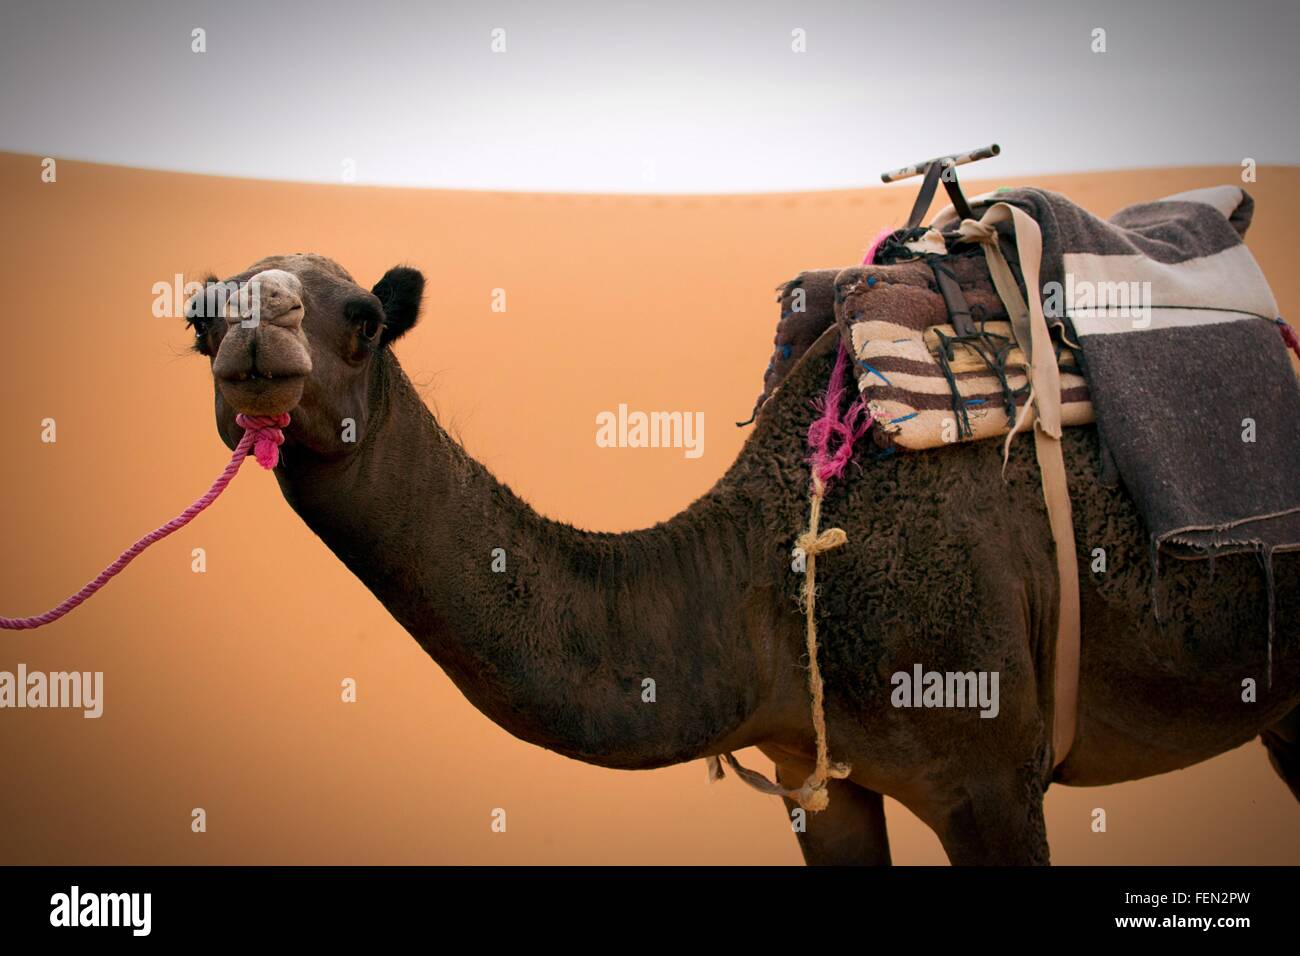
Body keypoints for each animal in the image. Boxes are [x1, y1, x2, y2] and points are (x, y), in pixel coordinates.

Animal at [186, 253, 1300, 865]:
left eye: (364, 321)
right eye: (197, 323)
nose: (253, 335)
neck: (773, 571)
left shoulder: (992, 775)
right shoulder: (815, 773)